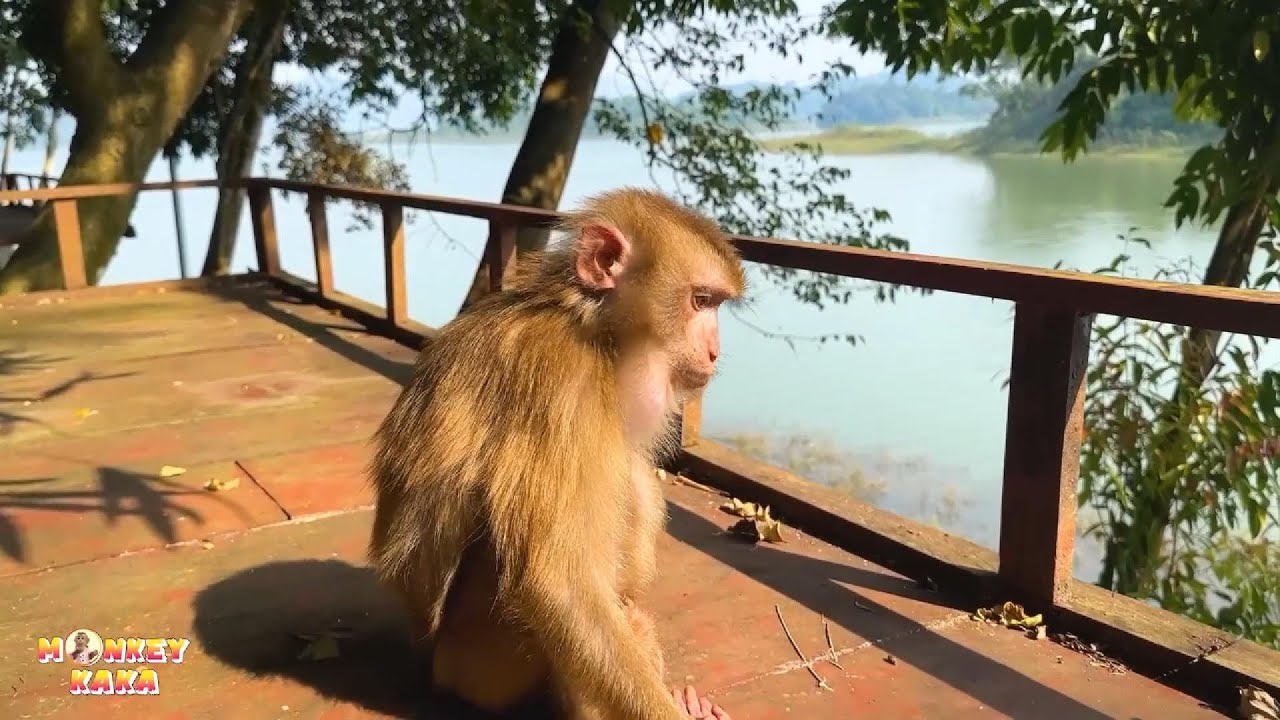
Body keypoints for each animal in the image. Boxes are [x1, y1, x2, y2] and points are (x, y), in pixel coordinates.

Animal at [367, 187, 746, 720]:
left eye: (714, 304)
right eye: (700, 301)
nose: (713, 351)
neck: (585, 322)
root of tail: (431, 664)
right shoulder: (565, 382)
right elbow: (558, 584)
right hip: (479, 663)